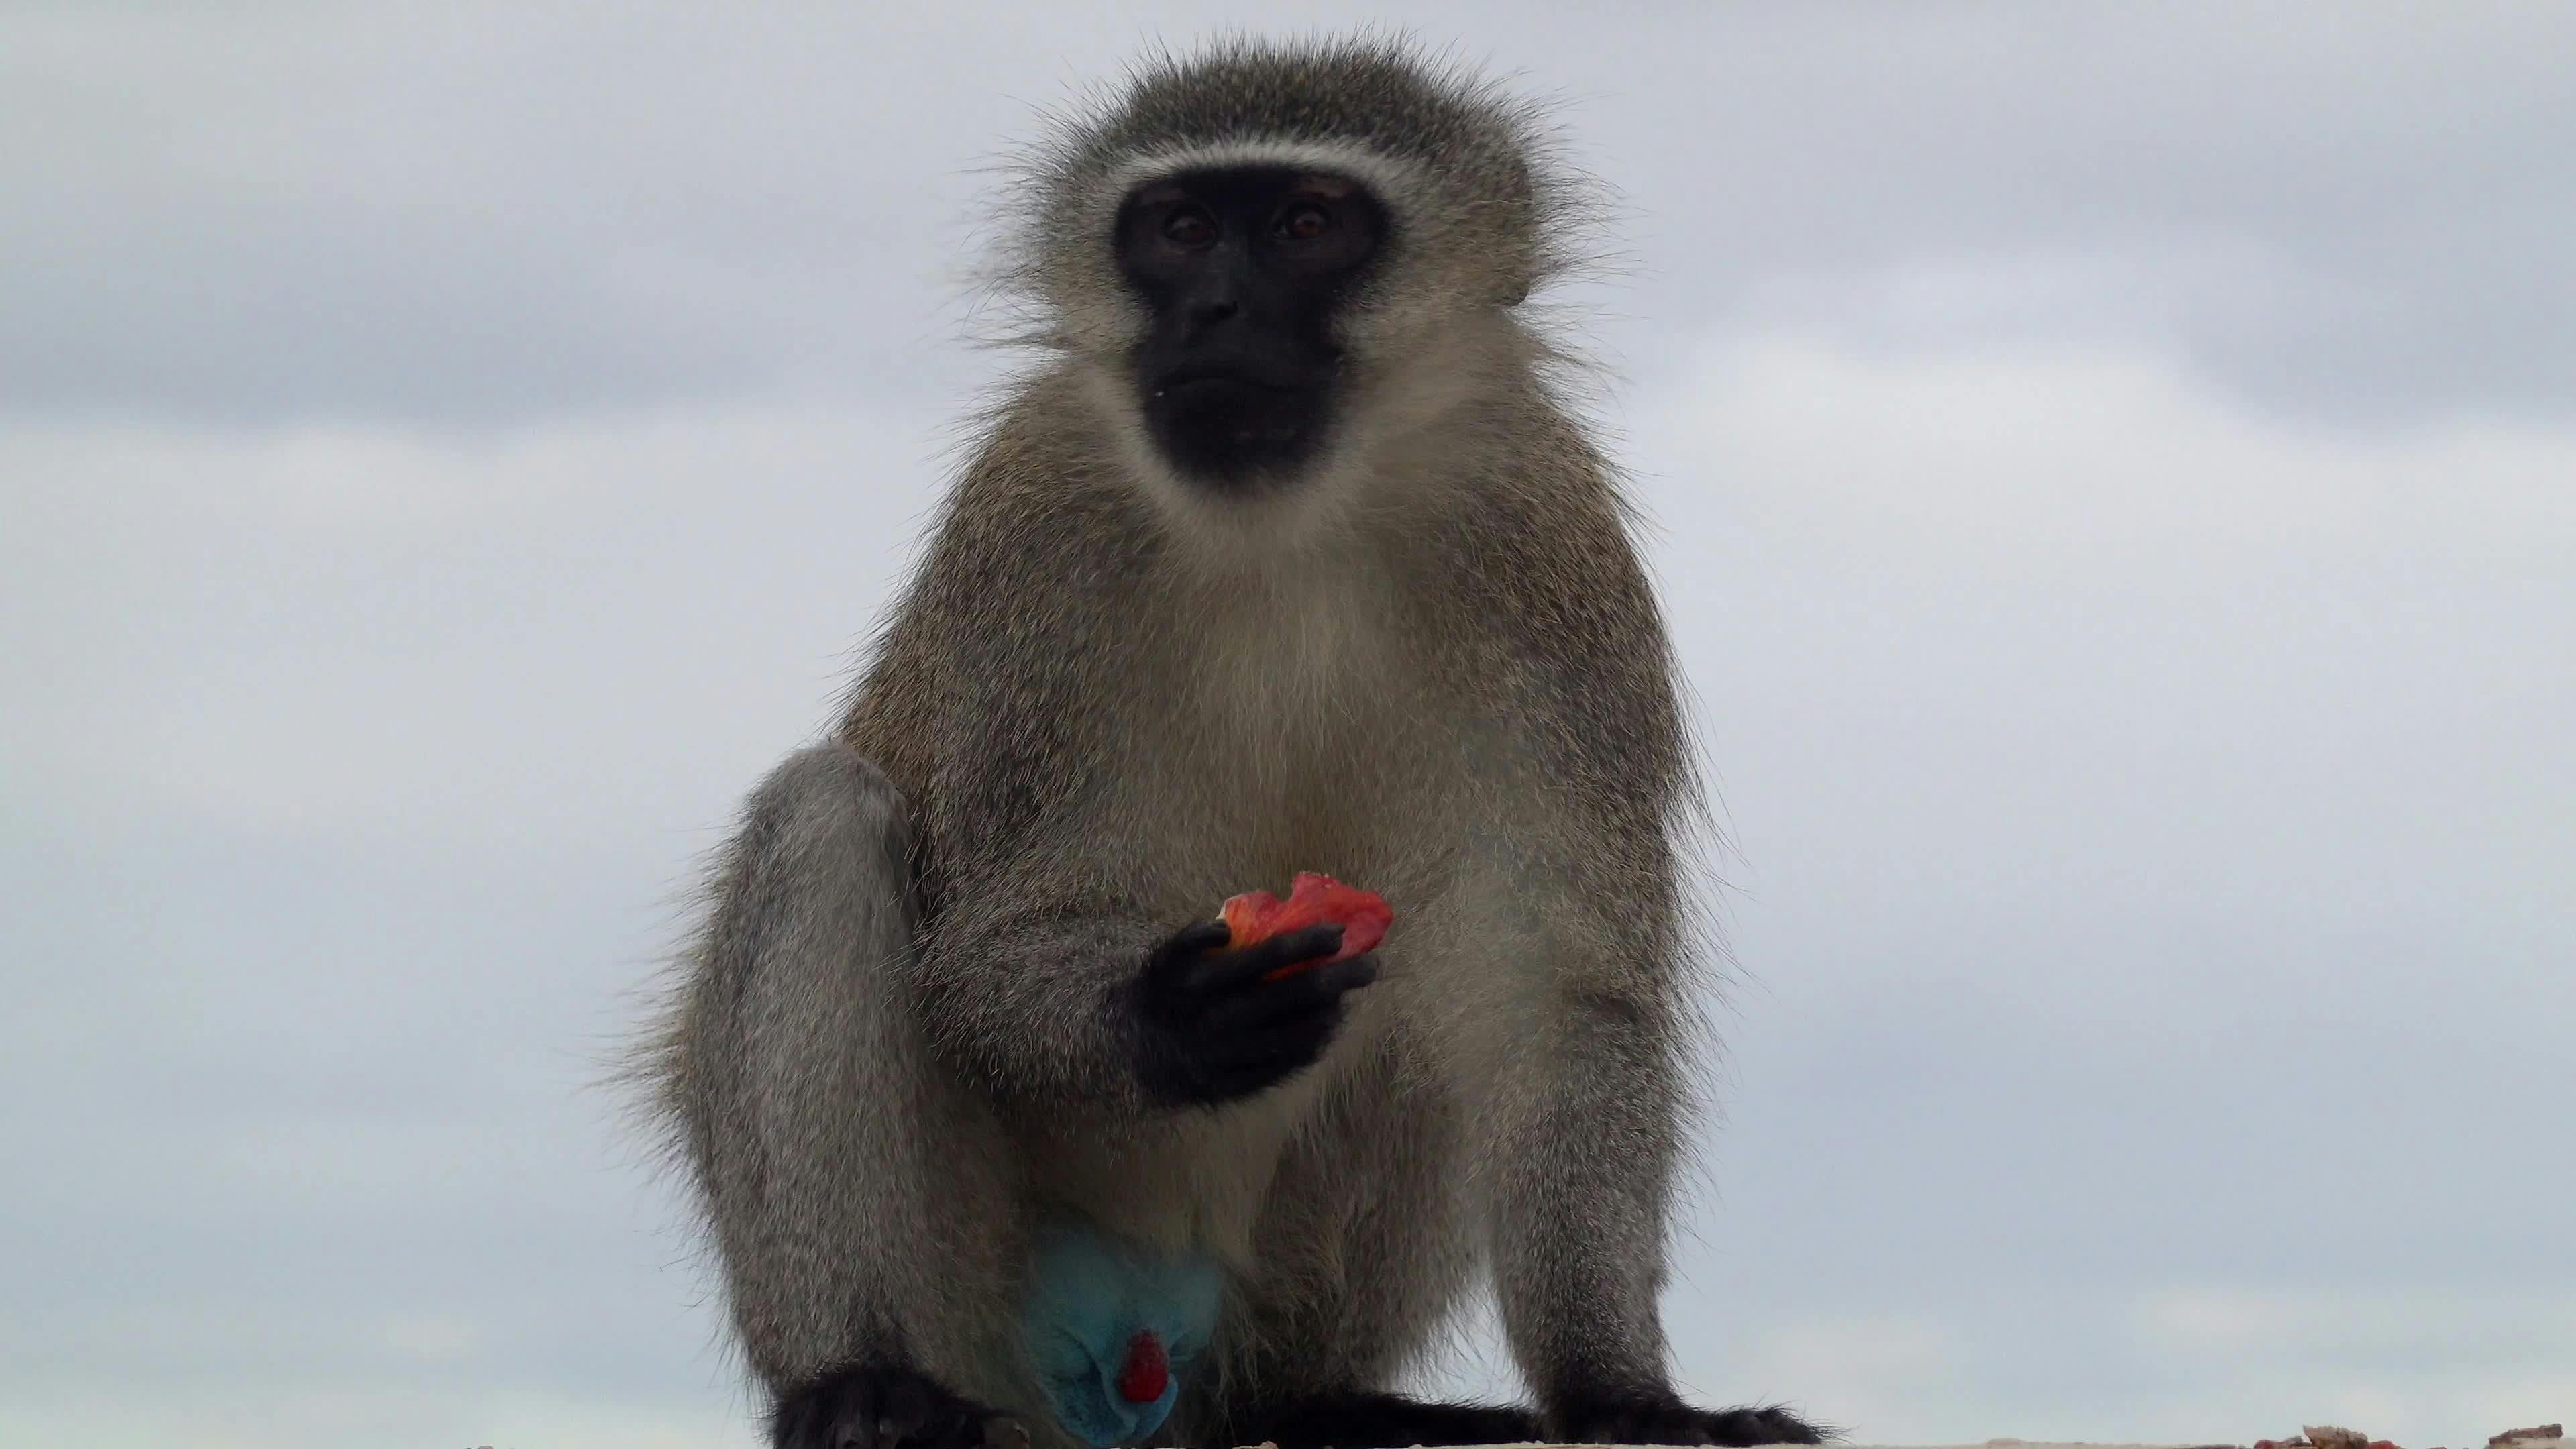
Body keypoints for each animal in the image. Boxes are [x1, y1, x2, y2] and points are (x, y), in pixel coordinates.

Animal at [630, 33, 1828, 1449]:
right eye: (1183, 229)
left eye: (1308, 226)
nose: (1211, 312)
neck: (1286, 524)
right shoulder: (1029, 540)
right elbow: (986, 948)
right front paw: (1169, 1011)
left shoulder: (1543, 545)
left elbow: (1544, 988)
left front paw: (1619, 1390)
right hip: (981, 1296)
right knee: (820, 819)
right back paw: (860, 1380)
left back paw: (1327, 1400)